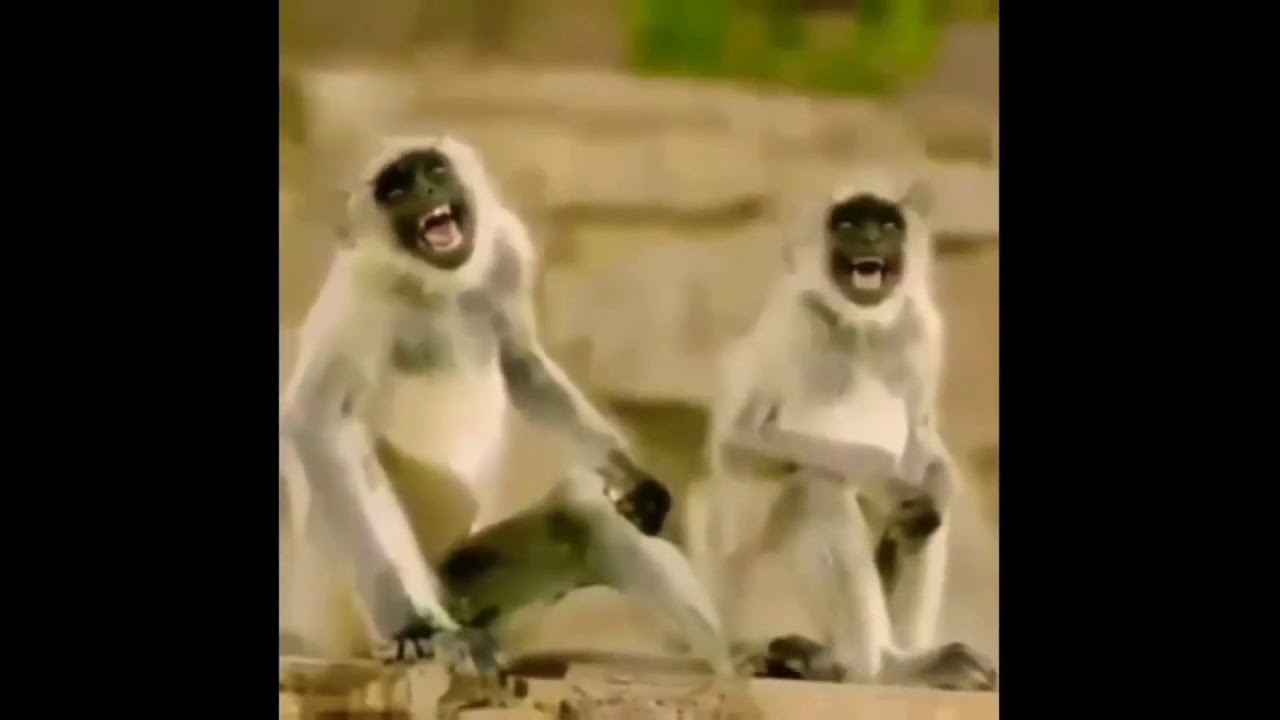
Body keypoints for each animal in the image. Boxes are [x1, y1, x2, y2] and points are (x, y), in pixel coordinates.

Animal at [279, 134, 723, 678]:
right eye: (395, 188)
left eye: (434, 169)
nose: (426, 190)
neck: (438, 287)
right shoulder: (360, 292)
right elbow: (312, 420)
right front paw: (405, 624)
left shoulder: (507, 254)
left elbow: (521, 362)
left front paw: (635, 479)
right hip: (336, 610)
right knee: (349, 449)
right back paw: (421, 629)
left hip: (465, 588)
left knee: (581, 512)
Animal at [681, 168, 997, 691]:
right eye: (848, 224)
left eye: (886, 225)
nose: (868, 238)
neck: (862, 328)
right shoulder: (793, 321)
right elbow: (738, 444)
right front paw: (886, 480)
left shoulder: (923, 330)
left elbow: (923, 436)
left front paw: (930, 480)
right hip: (746, 583)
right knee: (817, 483)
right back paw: (869, 666)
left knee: (925, 520)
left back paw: (913, 662)